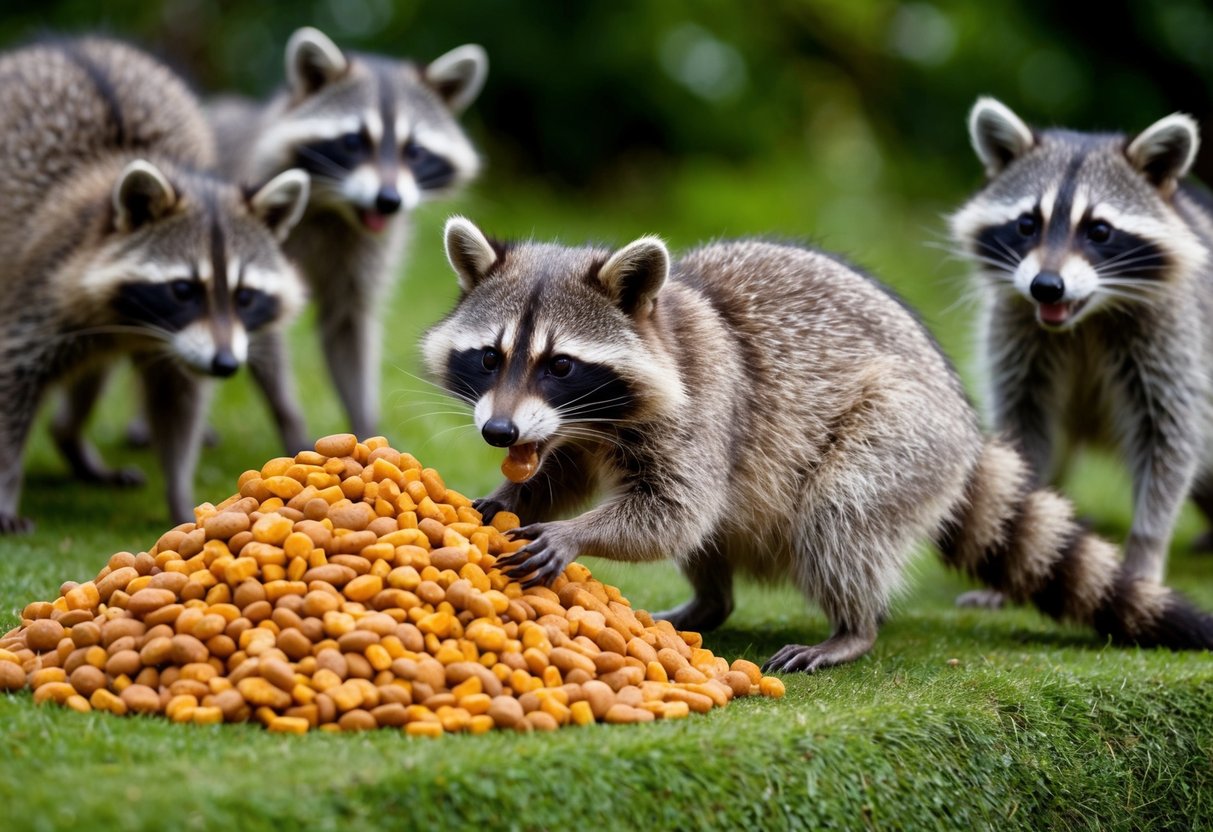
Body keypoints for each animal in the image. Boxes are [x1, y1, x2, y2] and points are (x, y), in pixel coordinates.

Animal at [0, 37, 309, 533]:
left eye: (244, 296)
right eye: (183, 290)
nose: (226, 364)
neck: (135, 324)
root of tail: (75, 44)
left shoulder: (184, 350)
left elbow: (179, 406)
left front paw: (182, 495)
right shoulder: (38, 291)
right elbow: (14, 381)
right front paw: (5, 490)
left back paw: (72, 443)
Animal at [207, 26, 487, 451]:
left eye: (414, 151)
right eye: (353, 142)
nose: (388, 200)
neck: (337, 210)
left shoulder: (366, 251)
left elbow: (350, 327)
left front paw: (365, 427)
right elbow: (264, 326)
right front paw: (291, 425)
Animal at [421, 217, 1213, 671]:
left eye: (559, 365)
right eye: (489, 357)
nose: (498, 432)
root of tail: (963, 423)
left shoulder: (705, 405)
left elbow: (674, 510)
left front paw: (574, 533)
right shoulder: (572, 431)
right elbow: (564, 479)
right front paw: (504, 496)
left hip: (902, 432)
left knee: (839, 513)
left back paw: (852, 626)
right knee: (724, 531)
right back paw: (708, 603)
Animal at [950, 98, 1213, 603]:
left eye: (1099, 230)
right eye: (1027, 224)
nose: (1046, 287)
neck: (1085, 318)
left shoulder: (1178, 338)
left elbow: (1169, 441)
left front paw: (1144, 553)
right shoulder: (1018, 335)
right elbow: (1024, 426)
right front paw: (1017, 544)